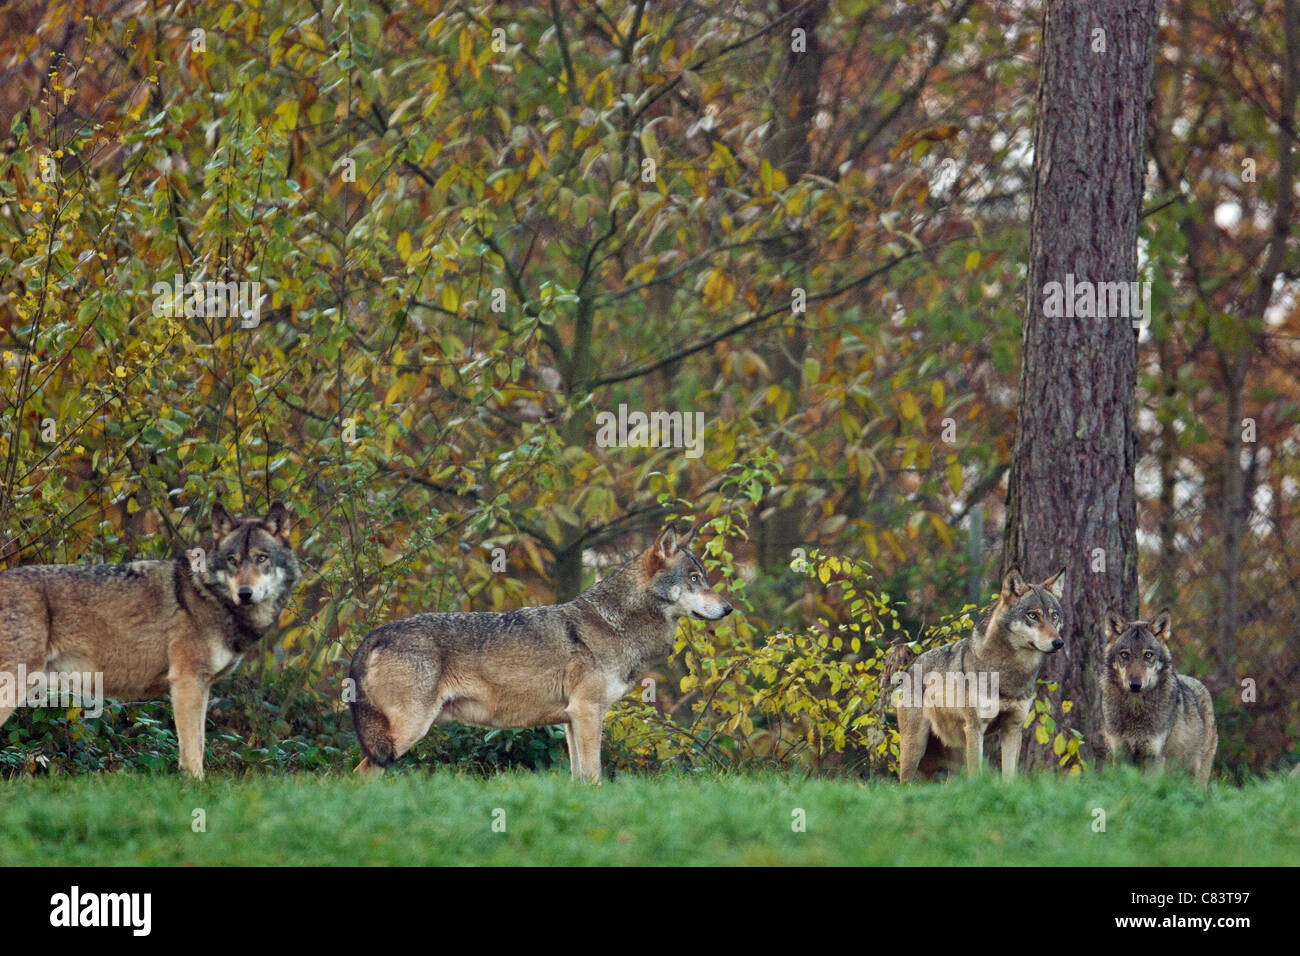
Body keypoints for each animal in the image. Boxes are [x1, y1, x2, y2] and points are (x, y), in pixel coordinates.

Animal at [0, 501, 300, 778]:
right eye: (233, 561)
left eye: (261, 558)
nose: (245, 593)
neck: (208, 595)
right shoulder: (187, 682)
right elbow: (193, 753)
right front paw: (195, 788)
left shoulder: (202, 687)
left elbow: (199, 746)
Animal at [349, 528, 732, 782]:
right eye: (694, 578)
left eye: (704, 578)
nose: (729, 608)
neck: (617, 623)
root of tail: (376, 633)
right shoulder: (587, 713)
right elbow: (594, 776)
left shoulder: (571, 721)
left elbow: (580, 779)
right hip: (406, 732)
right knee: (360, 775)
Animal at [892, 567, 1066, 782]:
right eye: (1033, 615)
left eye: (1054, 616)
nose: (1058, 643)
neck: (1008, 673)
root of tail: (910, 666)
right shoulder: (975, 729)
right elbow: (976, 774)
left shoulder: (1013, 728)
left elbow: (1010, 777)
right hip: (915, 749)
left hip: (951, 759)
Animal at [1102, 609, 1216, 784]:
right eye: (1125, 654)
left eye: (1148, 655)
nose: (1135, 684)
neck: (1135, 709)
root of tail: (1199, 682)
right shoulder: (1120, 755)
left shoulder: (1153, 757)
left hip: (1197, 774)